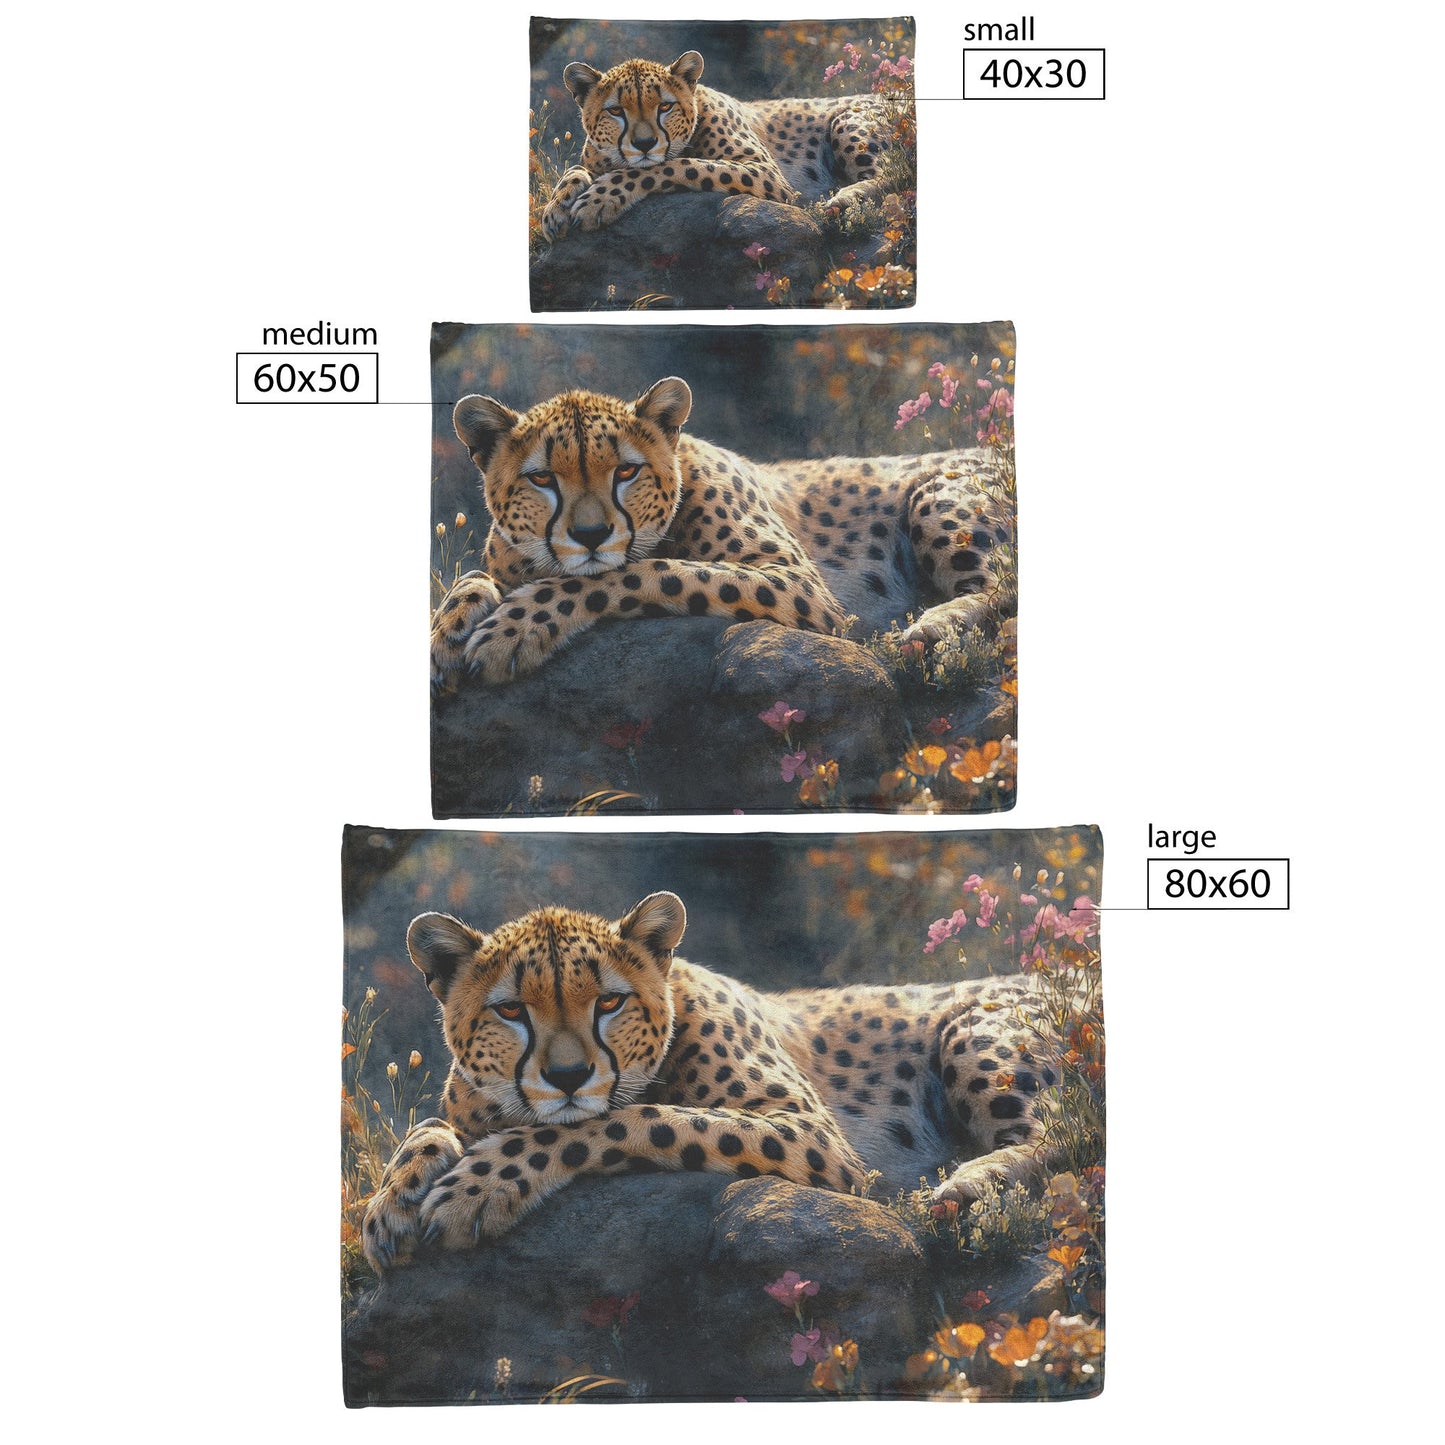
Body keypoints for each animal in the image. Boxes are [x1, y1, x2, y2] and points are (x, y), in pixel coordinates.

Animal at [361, 891, 1078, 1270]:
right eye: (511, 1010)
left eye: (609, 1001)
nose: (567, 1075)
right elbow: (430, 1125)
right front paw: (389, 1204)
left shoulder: (813, 1134)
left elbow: (628, 1119)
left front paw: (477, 1186)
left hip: (972, 1026)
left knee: (1064, 1141)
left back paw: (966, 1183)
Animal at [431, 377, 1011, 690]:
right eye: (542, 478)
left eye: (626, 471)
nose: (591, 534)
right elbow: (473, 577)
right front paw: (447, 632)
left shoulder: (802, 585)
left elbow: (639, 572)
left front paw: (515, 629)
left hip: (935, 492)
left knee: (1003, 591)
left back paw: (930, 627)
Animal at [539, 49, 907, 240]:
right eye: (615, 110)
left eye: (665, 106)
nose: (644, 143)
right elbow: (575, 168)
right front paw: (554, 208)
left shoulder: (766, 172)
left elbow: (673, 165)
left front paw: (600, 199)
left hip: (847, 119)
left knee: (897, 178)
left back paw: (843, 199)